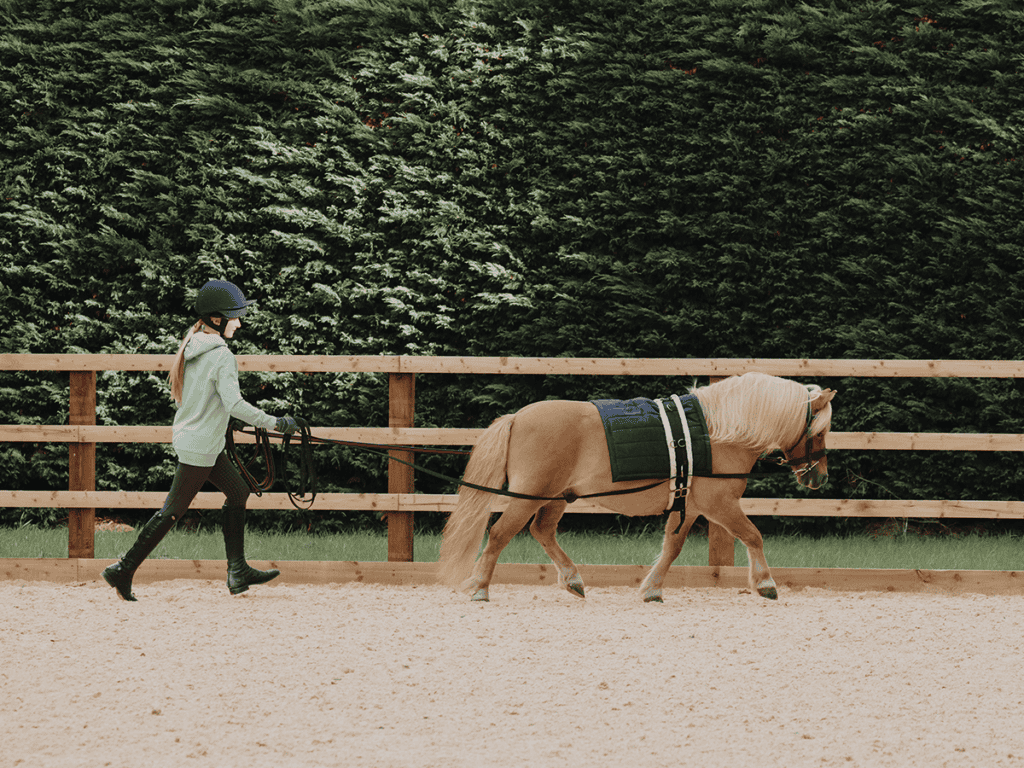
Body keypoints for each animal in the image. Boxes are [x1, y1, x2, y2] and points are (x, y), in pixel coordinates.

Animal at [437, 372, 835, 603]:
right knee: (501, 533)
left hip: (554, 497)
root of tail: (518, 417)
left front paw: (652, 589)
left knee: (542, 531)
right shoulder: (719, 505)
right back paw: (480, 587)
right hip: (530, 496)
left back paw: (572, 579)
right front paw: (766, 584)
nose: (820, 478)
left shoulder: (690, 508)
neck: (716, 433)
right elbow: (753, 535)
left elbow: (672, 548)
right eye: (820, 431)